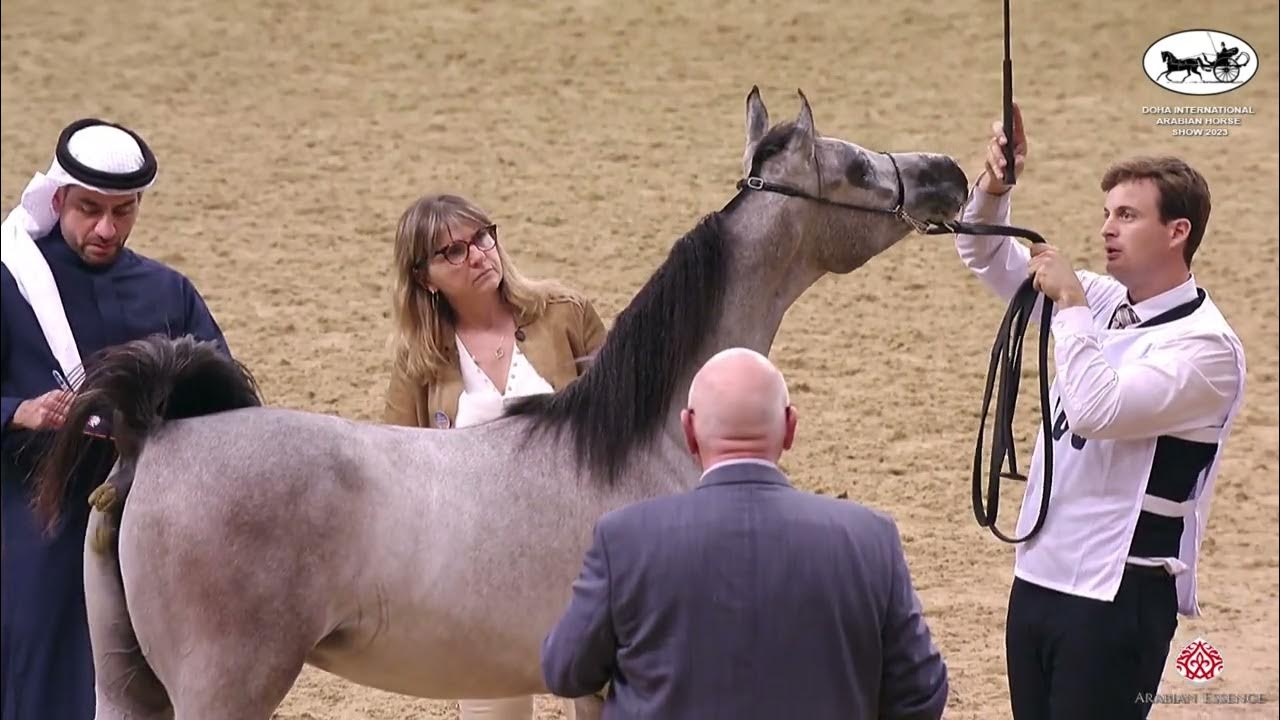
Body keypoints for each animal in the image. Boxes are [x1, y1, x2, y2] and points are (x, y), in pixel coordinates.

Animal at [36, 86, 969, 720]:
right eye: (855, 166)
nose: (949, 173)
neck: (641, 440)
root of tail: (155, 436)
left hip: (130, 688)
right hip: (222, 689)